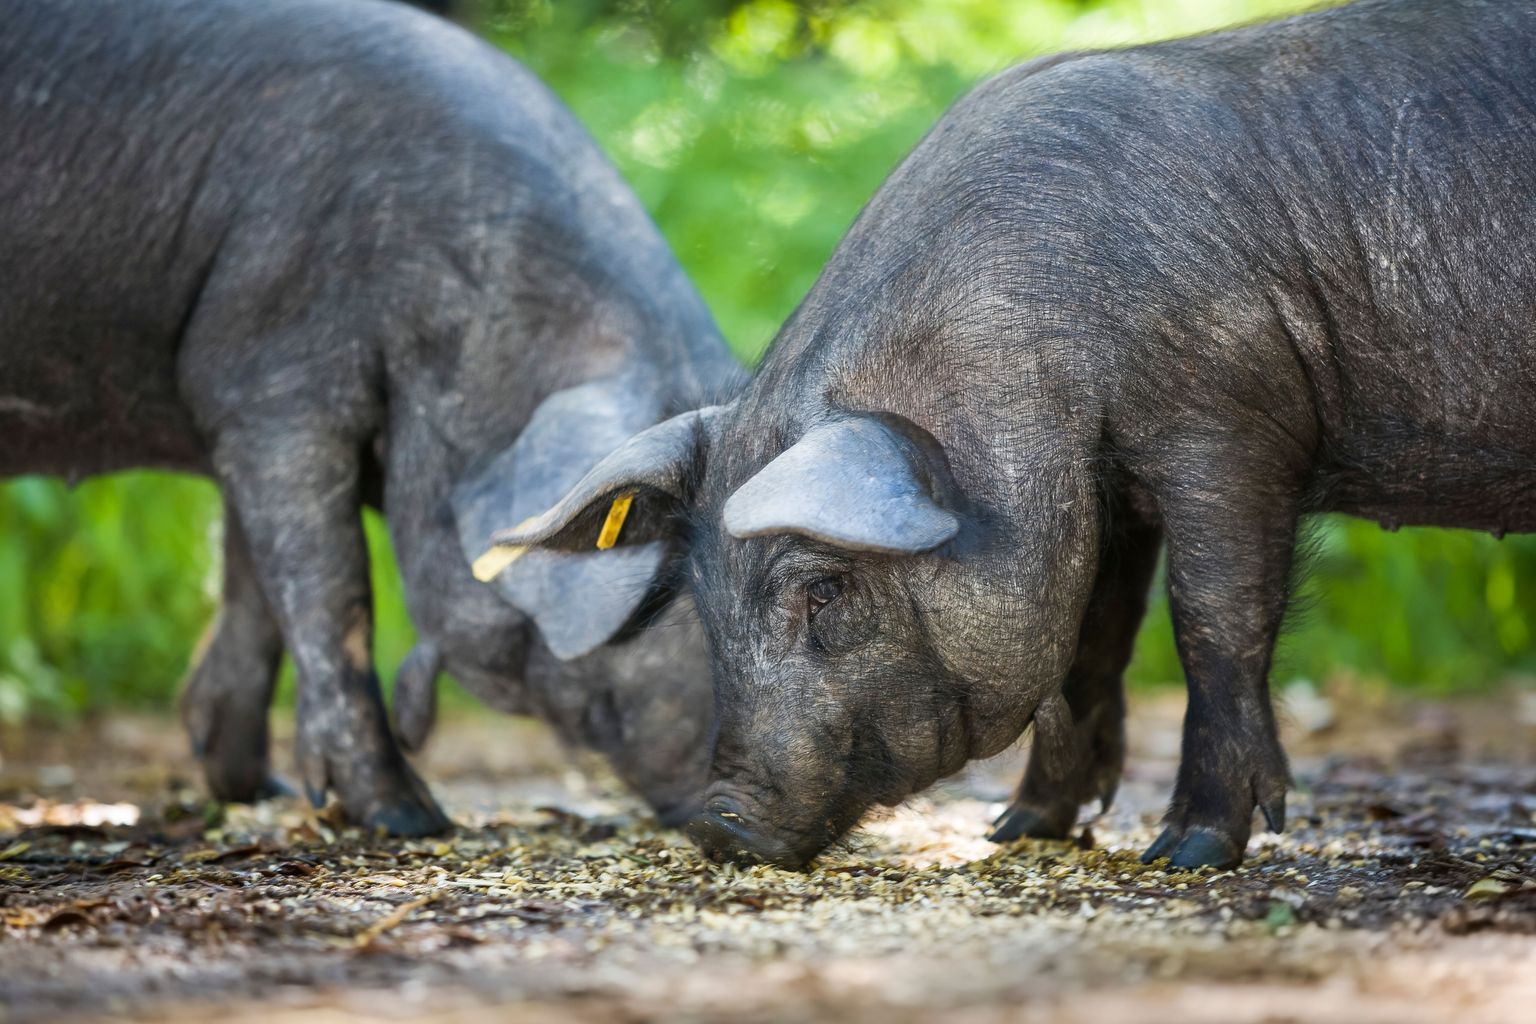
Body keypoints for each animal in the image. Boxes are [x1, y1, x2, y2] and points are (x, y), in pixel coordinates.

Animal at [0, 0, 739, 833]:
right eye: (671, 570)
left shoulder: (239, 419)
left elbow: (253, 594)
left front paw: (260, 789)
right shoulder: (272, 371)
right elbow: (332, 588)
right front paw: (409, 818)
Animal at [490, 0, 1536, 869]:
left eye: (823, 589)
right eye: (702, 607)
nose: (717, 824)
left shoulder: (1227, 425)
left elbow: (1212, 622)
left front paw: (1185, 853)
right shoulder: (1104, 492)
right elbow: (1091, 645)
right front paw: (1021, 830)